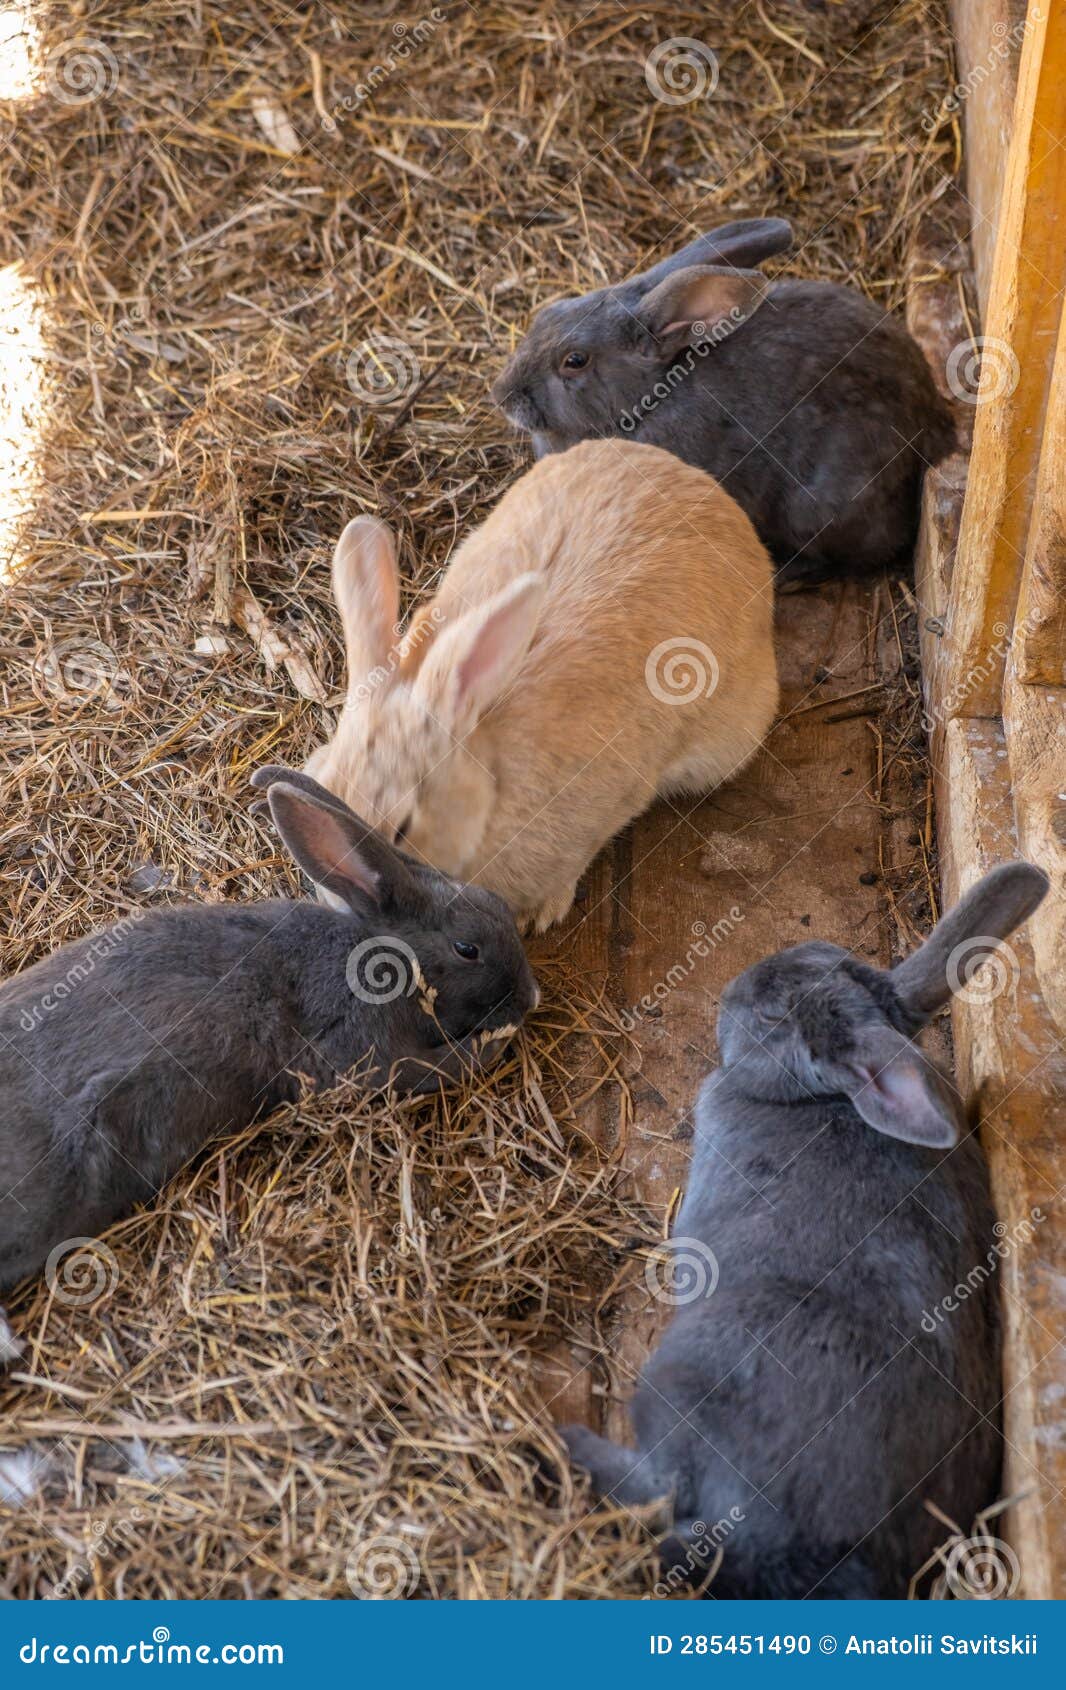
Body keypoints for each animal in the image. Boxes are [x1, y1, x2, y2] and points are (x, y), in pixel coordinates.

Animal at [0, 768, 537, 1321]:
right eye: (467, 948)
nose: (530, 997)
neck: (385, 959)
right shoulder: (364, 1052)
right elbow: (440, 1068)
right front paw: (493, 1043)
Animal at [490, 217, 957, 586]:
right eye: (549, 313)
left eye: (575, 361)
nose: (502, 395)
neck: (645, 399)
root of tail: (933, 430)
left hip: (821, 506)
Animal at [559, 861, 1050, 1599]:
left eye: (770, 1014)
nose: (731, 991)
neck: (814, 1095)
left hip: (683, 1372)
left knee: (659, 1494)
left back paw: (558, 1441)